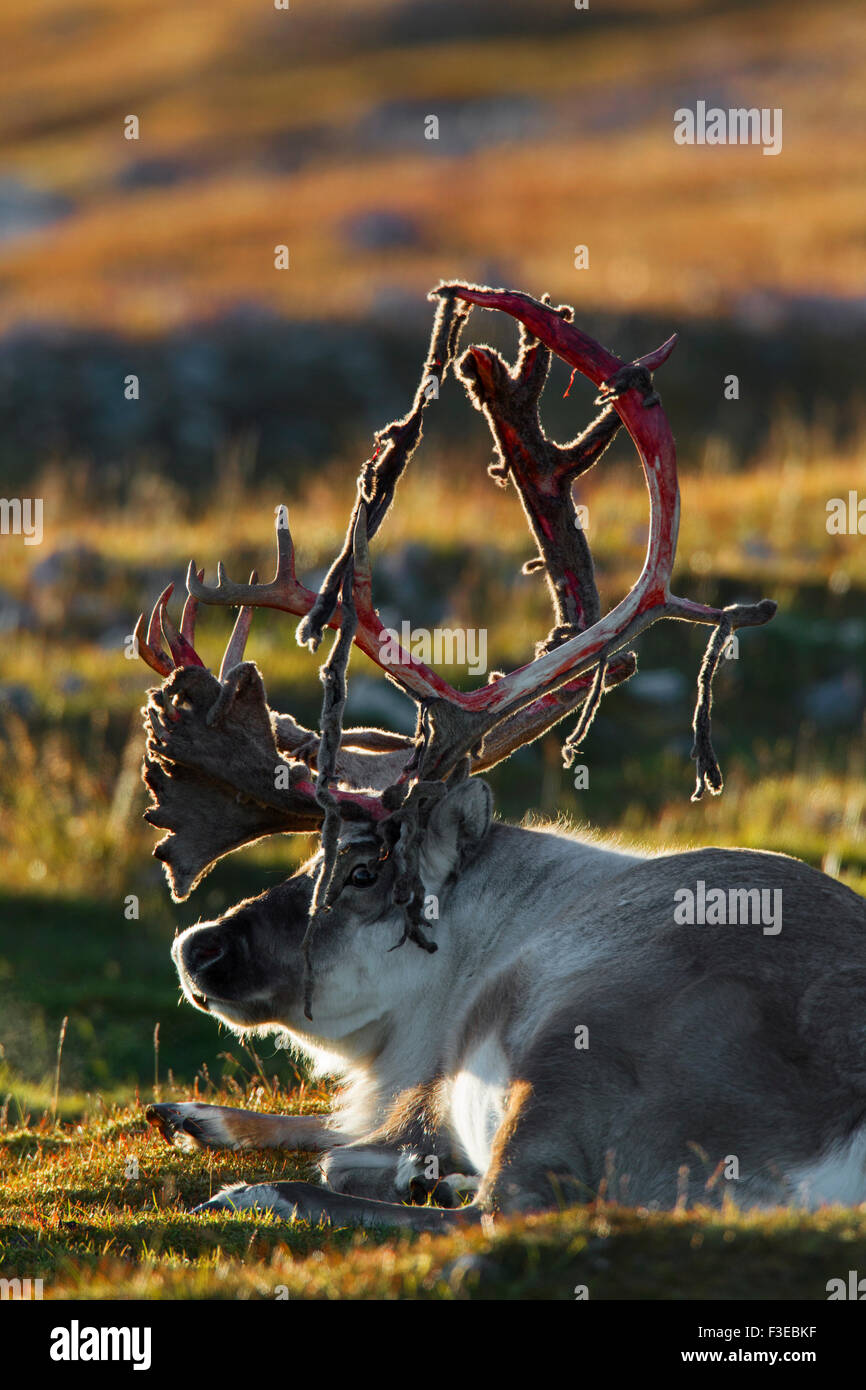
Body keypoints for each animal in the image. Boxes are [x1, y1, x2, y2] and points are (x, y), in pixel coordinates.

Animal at [136, 284, 866, 1229]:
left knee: (496, 1203)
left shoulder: (431, 1075)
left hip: (567, 1050)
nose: (198, 949)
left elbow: (353, 1140)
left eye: (365, 870)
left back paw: (284, 1191)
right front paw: (192, 1111)